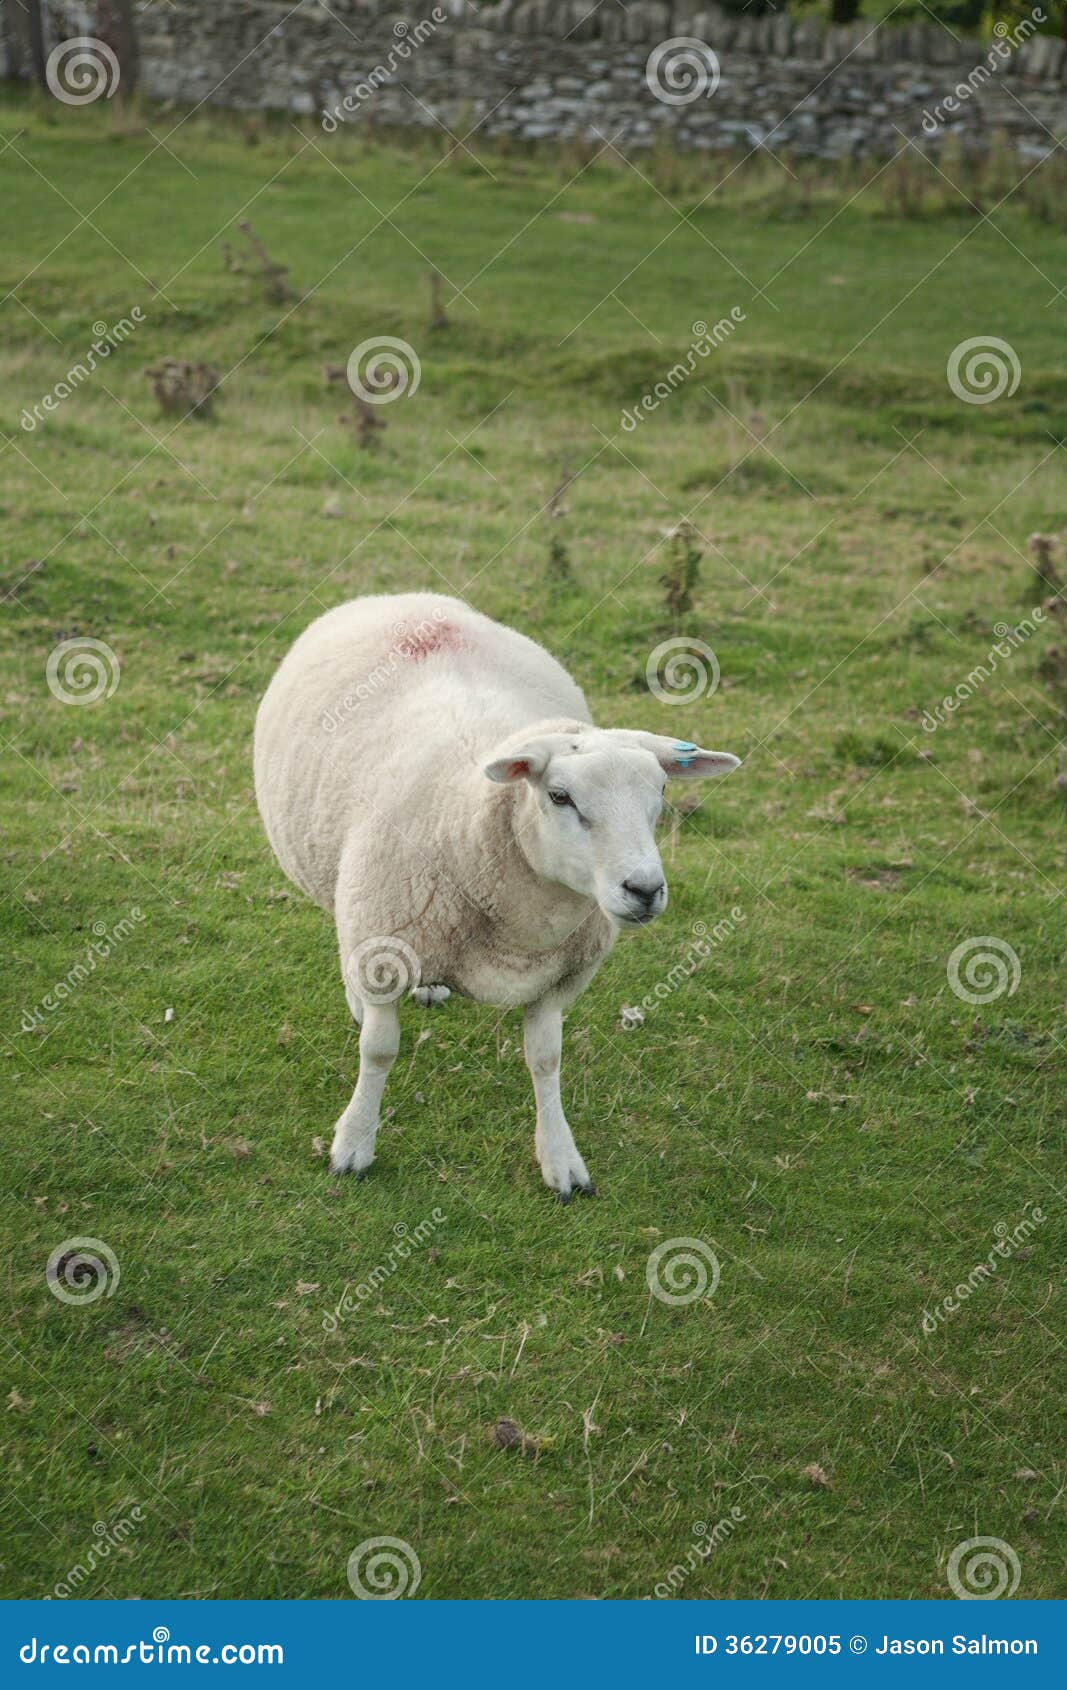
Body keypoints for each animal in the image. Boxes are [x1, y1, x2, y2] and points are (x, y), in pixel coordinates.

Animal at [254, 593, 740, 1201]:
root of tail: (407, 597)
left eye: (662, 792)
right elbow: (379, 1050)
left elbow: (547, 1060)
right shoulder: (382, 942)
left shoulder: (559, 979)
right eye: (559, 796)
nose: (645, 889)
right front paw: (354, 1143)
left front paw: (560, 1158)